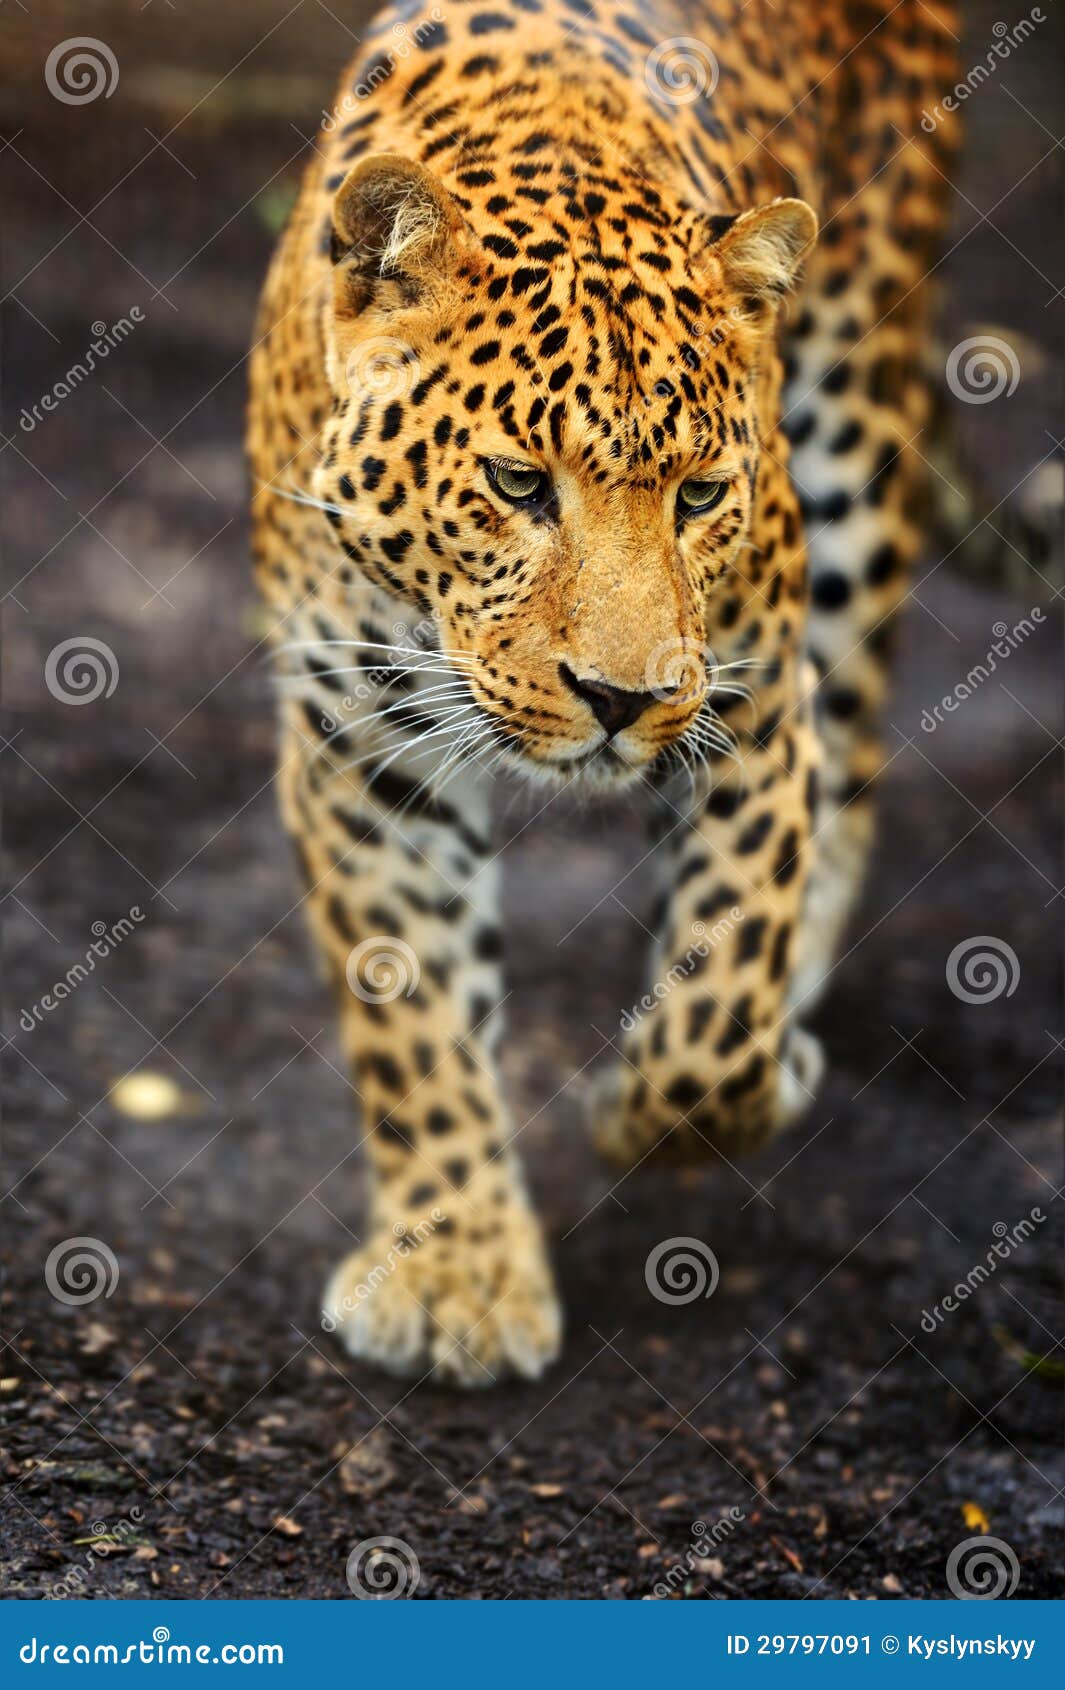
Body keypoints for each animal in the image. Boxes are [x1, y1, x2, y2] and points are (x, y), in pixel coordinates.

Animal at [247, 0, 963, 1387]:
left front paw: (655, 1106)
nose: (621, 699)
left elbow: (720, 1005)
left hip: (861, 440)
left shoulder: (749, 704)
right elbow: (414, 1021)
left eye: (700, 493)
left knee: (851, 770)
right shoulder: (359, 742)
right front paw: (459, 1272)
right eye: (519, 483)